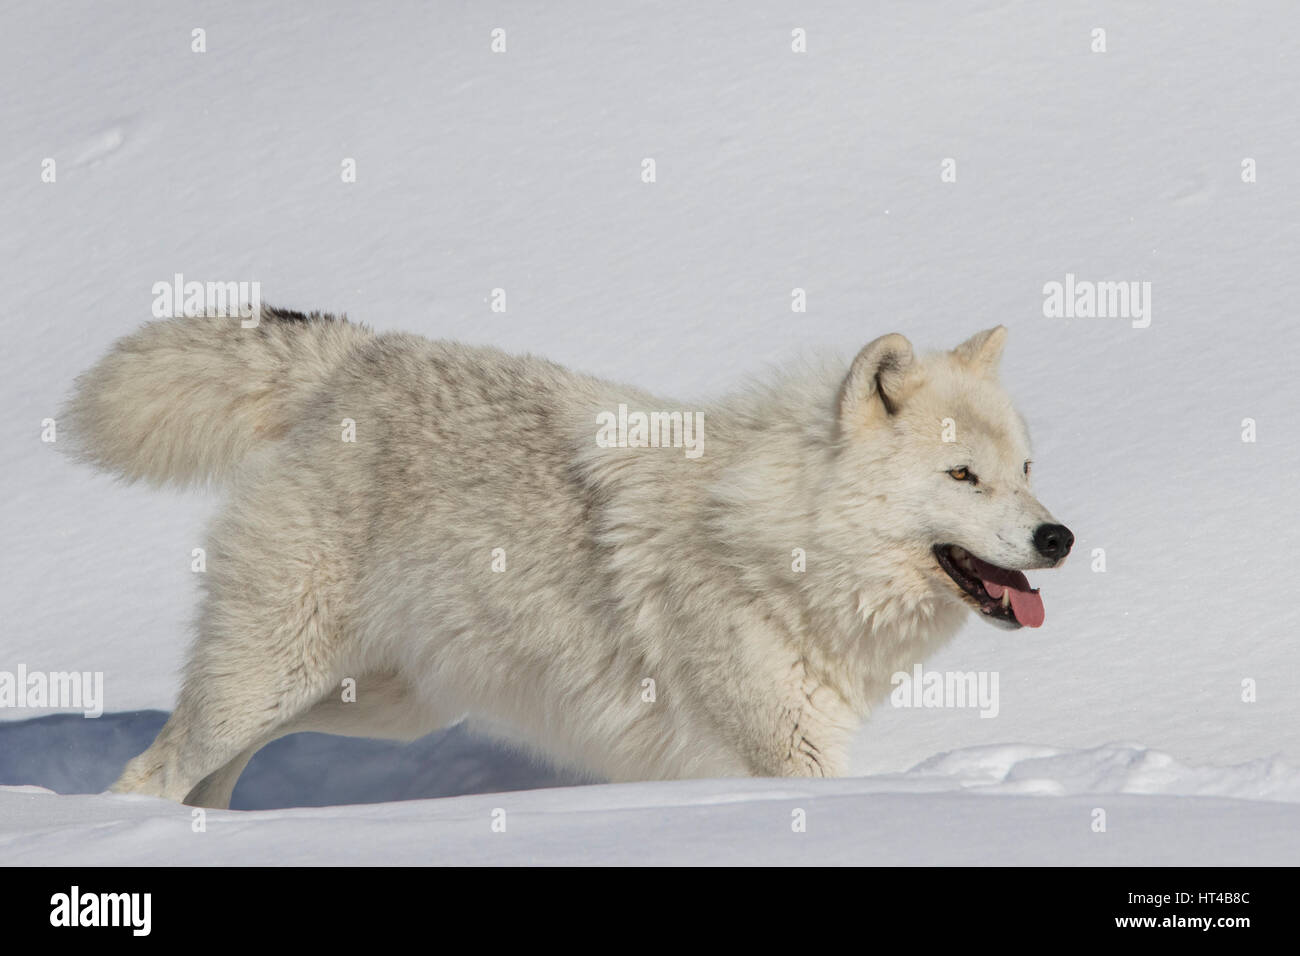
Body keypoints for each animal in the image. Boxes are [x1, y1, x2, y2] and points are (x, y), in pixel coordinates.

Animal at [61, 312, 1072, 807]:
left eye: (1026, 470)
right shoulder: (786, 755)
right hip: (269, 678)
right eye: (962, 475)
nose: (1058, 539)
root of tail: (353, 361)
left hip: (376, 706)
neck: (781, 544)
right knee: (153, 773)